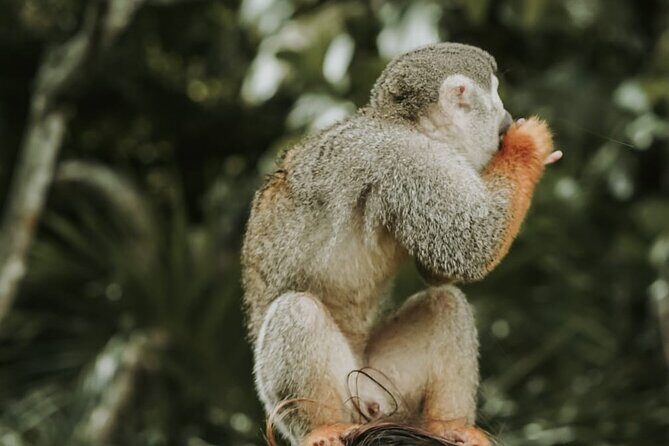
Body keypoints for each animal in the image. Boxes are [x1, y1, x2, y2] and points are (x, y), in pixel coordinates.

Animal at [241, 42, 560, 446]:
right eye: (496, 95)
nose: (505, 117)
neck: (406, 124)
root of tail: (368, 398)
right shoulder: (409, 158)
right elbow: (469, 244)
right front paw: (528, 143)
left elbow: (442, 263)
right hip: (314, 403)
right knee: (296, 309)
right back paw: (322, 427)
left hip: (387, 387)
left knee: (445, 303)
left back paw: (446, 425)